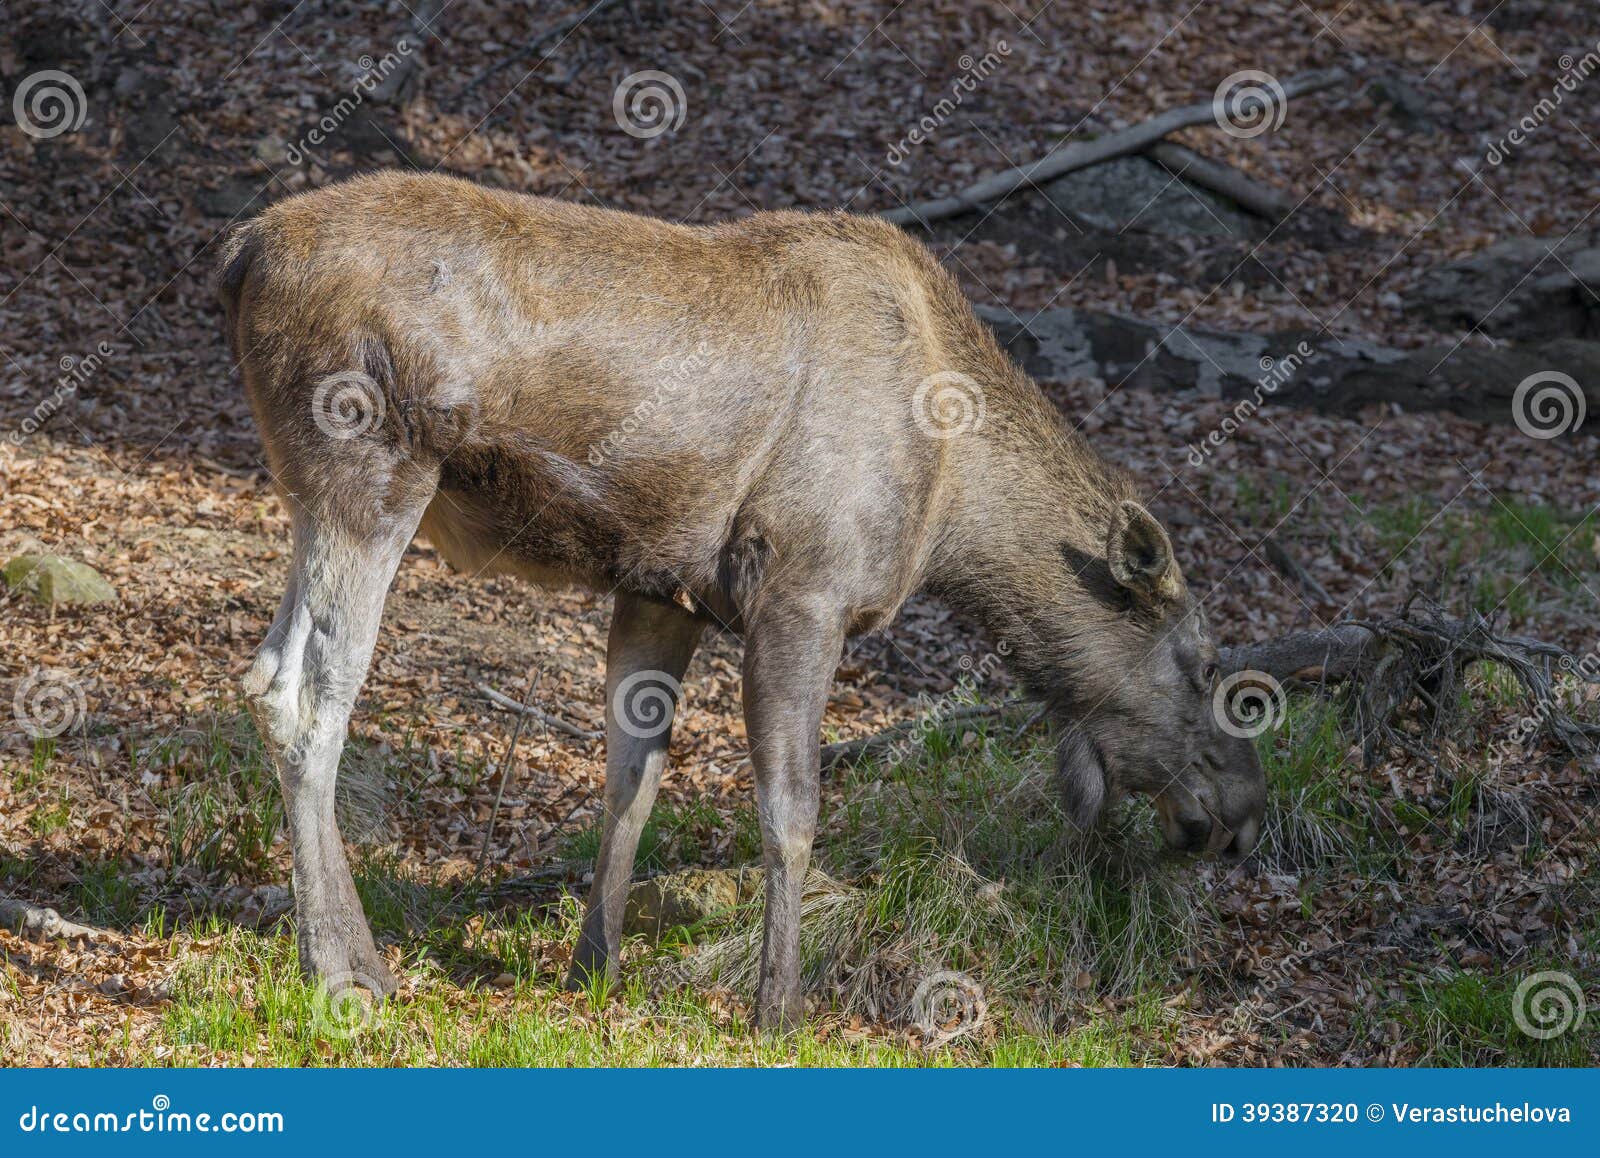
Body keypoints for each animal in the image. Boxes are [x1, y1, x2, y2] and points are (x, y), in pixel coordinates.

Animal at [215, 170, 1266, 1032]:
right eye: (1208, 665)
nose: (1242, 817)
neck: (950, 503)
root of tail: (242, 251)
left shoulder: (662, 594)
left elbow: (631, 782)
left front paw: (594, 968)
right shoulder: (805, 592)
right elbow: (791, 812)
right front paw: (778, 1007)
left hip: (316, 495)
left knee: (265, 676)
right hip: (372, 473)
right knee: (304, 697)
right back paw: (344, 971)